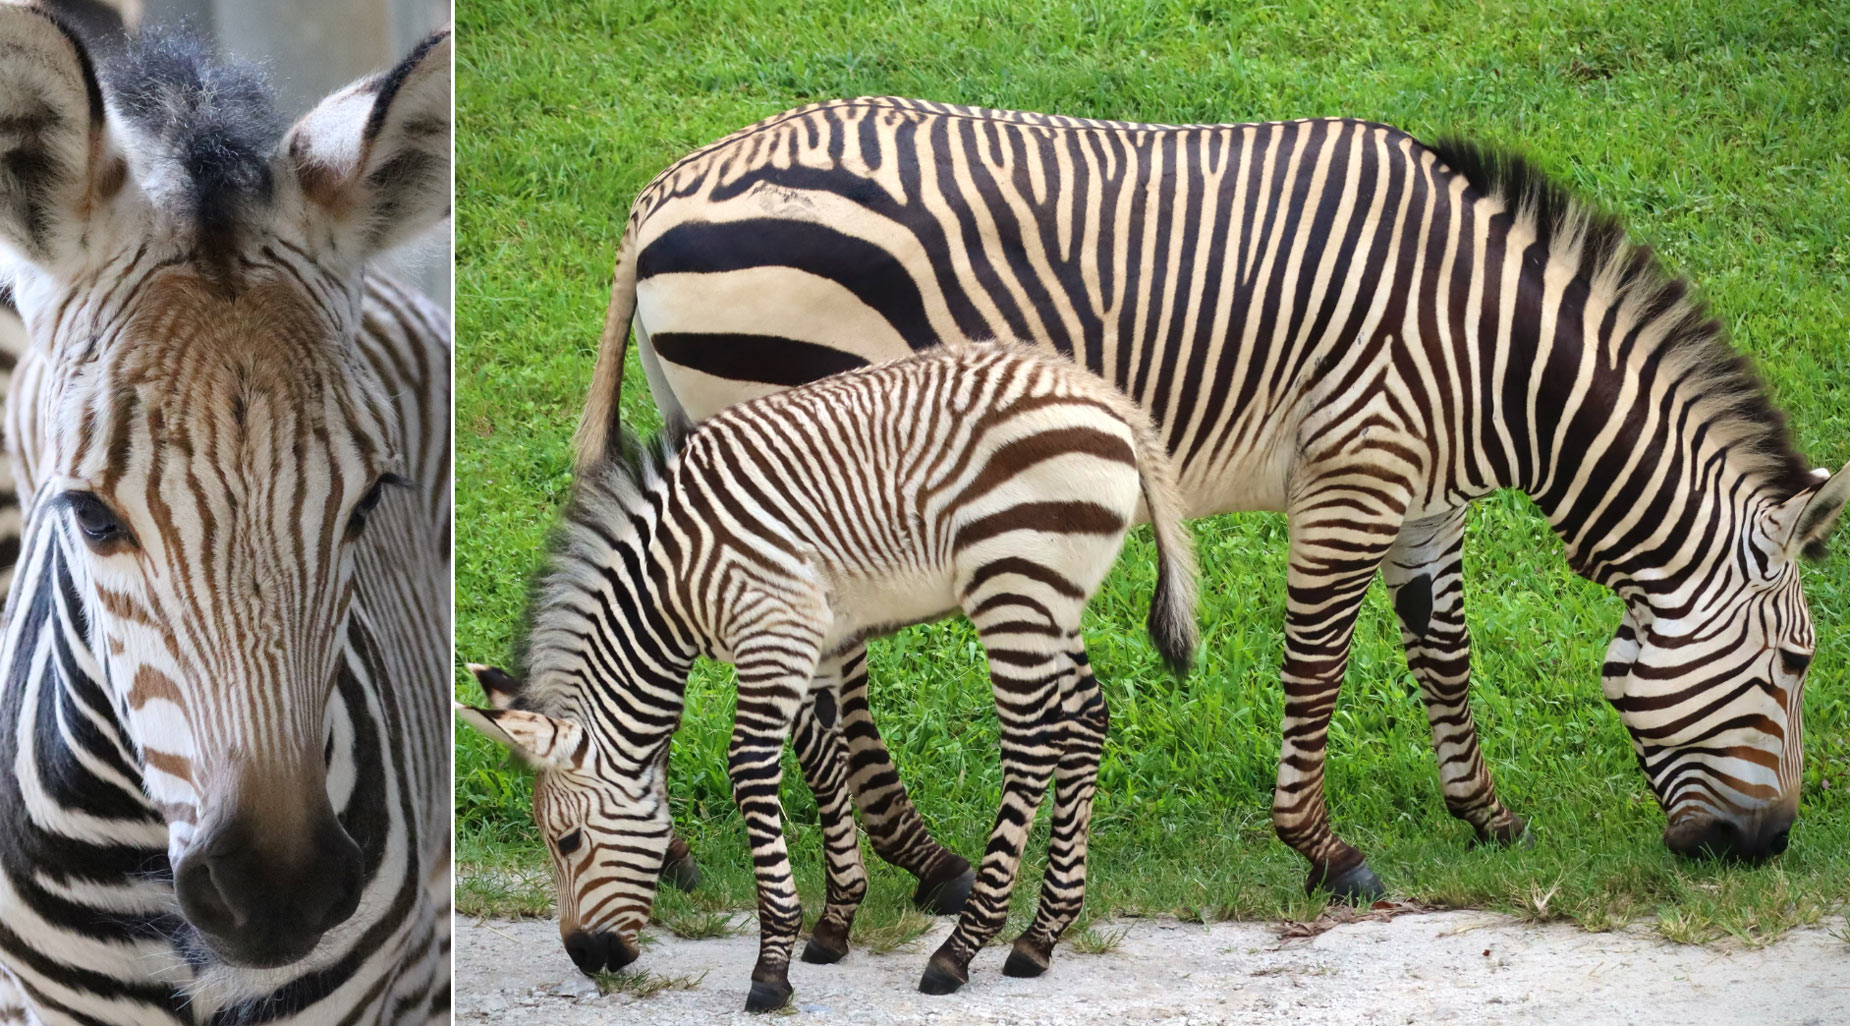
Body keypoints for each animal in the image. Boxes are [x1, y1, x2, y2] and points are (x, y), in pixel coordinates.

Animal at [461, 342, 1198, 1009]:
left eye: (567, 840)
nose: (586, 957)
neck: (671, 585)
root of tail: (1105, 398)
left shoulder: (773, 631)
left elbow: (752, 768)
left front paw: (771, 965)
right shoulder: (813, 640)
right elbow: (823, 758)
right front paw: (836, 921)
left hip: (1013, 587)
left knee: (1033, 742)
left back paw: (960, 949)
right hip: (1051, 600)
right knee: (1087, 716)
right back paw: (1040, 935)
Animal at [575, 97, 1847, 905]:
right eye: (1794, 663)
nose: (1768, 848)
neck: (1493, 352)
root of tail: (661, 191)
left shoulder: (1424, 498)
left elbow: (1441, 653)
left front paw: (1483, 816)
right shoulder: (1353, 474)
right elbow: (1318, 664)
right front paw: (1325, 851)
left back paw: (687, 849)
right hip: (802, 434)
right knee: (822, 678)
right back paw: (928, 866)